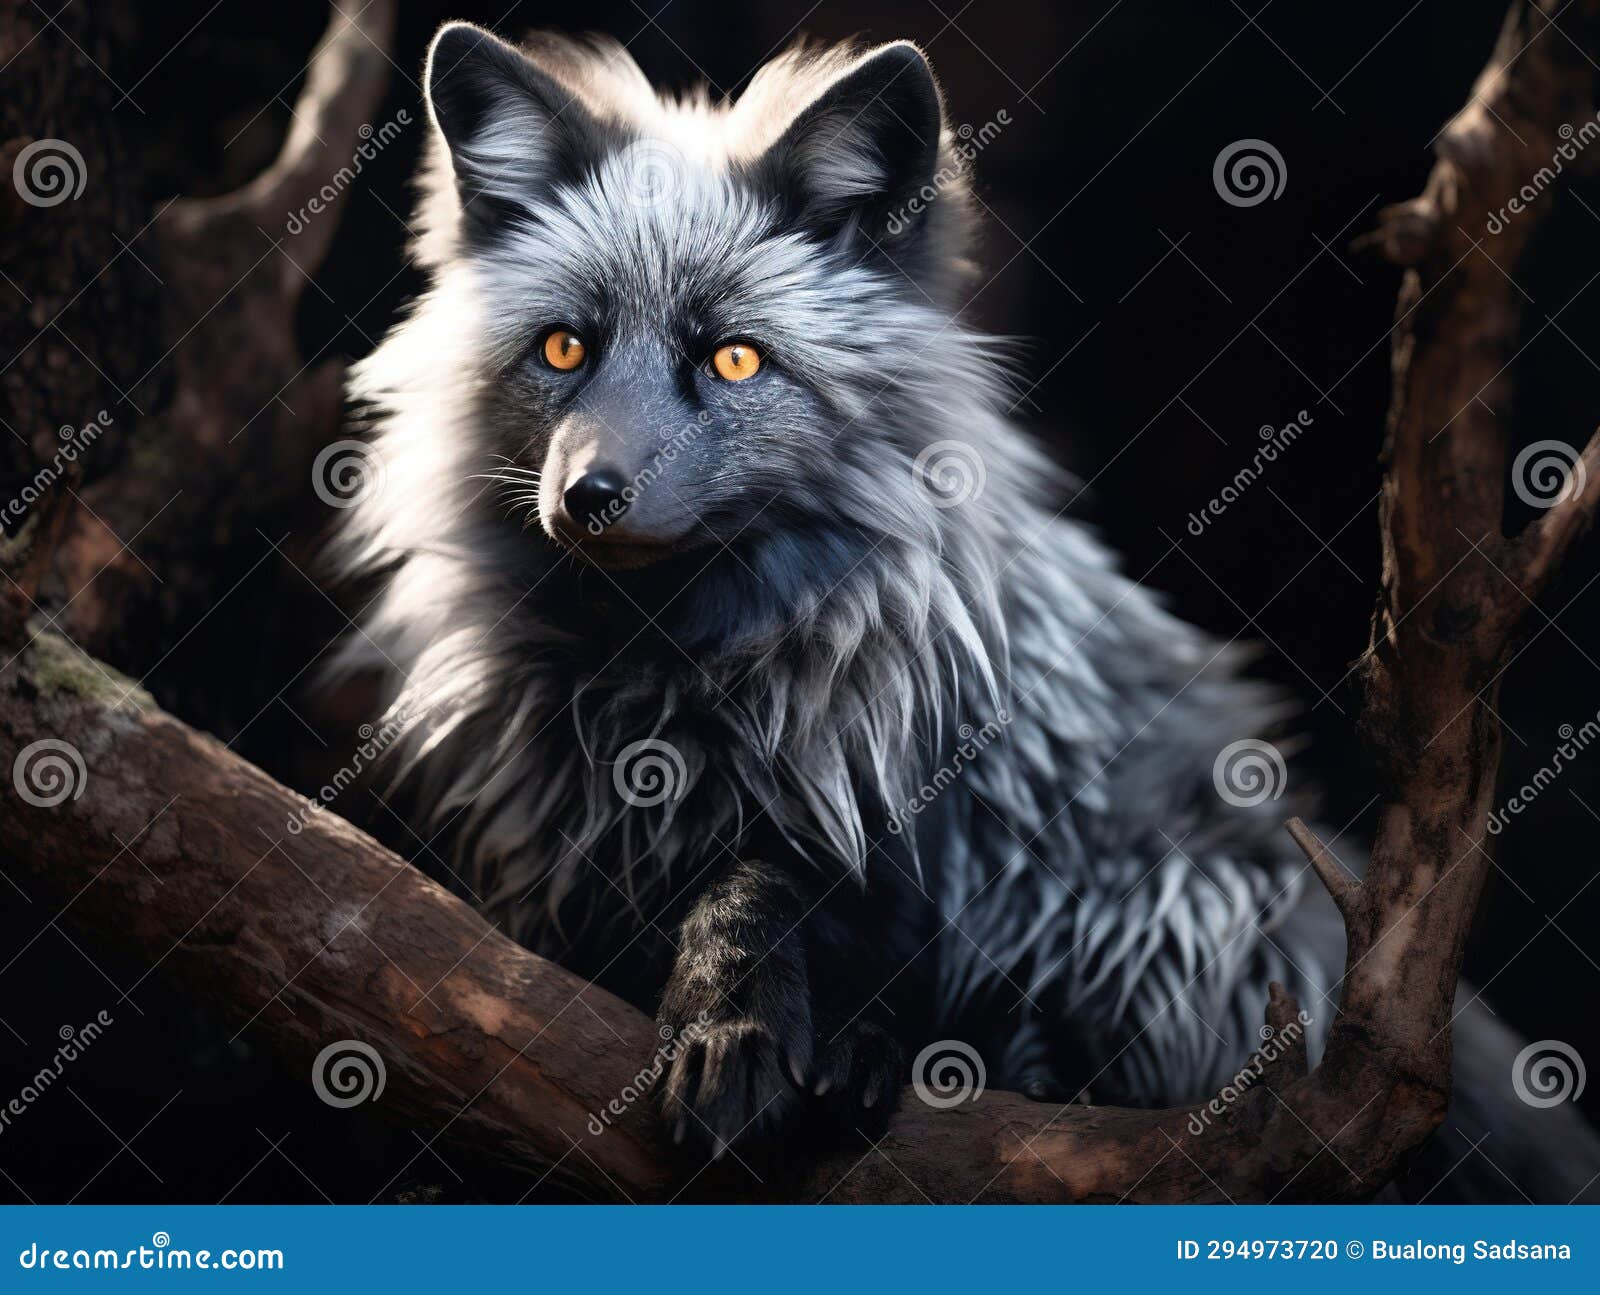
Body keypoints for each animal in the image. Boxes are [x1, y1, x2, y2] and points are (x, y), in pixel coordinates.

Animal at [335, 21, 1600, 1195]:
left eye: (735, 360)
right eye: (564, 348)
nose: (589, 496)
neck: (664, 678)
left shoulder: (905, 823)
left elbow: (774, 896)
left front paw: (750, 1034)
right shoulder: (554, 879)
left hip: (1169, 901)